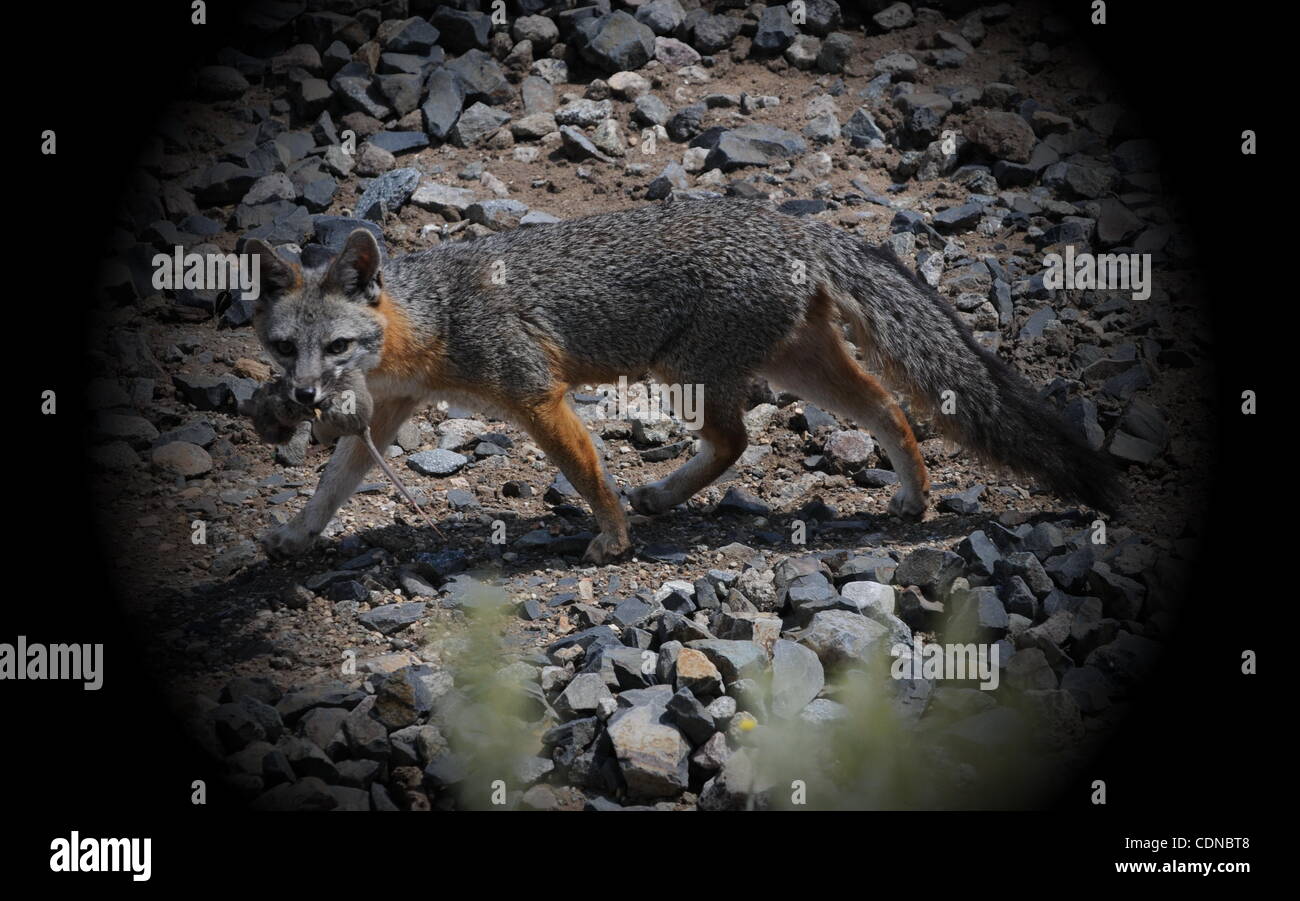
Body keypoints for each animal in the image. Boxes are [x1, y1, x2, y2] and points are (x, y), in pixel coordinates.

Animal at [245, 197, 1121, 565]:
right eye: (285, 349)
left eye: (337, 346)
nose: (304, 399)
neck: (432, 319)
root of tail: (793, 225)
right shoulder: (391, 411)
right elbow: (332, 483)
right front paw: (295, 535)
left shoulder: (534, 392)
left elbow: (586, 470)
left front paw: (611, 537)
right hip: (787, 362)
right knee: (884, 409)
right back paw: (910, 494)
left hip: (693, 370)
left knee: (735, 439)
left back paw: (662, 496)